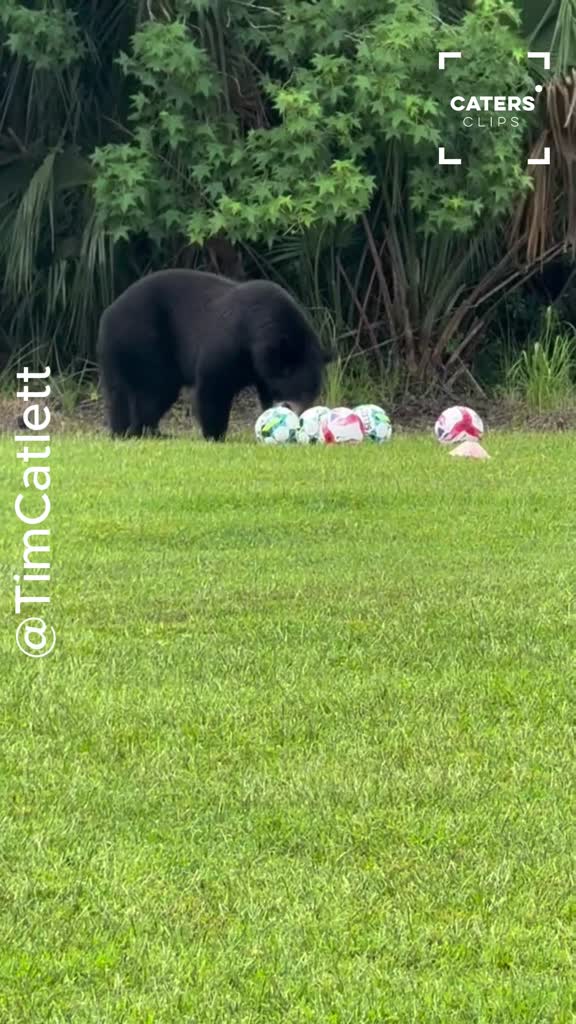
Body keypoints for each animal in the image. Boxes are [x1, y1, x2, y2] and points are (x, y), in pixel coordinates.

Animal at [97, 269, 330, 441]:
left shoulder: (262, 368)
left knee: (121, 394)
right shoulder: (230, 340)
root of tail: (107, 316)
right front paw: (215, 434)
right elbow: (213, 384)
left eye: (312, 393)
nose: (300, 417)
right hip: (145, 342)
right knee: (155, 390)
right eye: (299, 392)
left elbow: (265, 390)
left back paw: (131, 431)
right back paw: (141, 431)